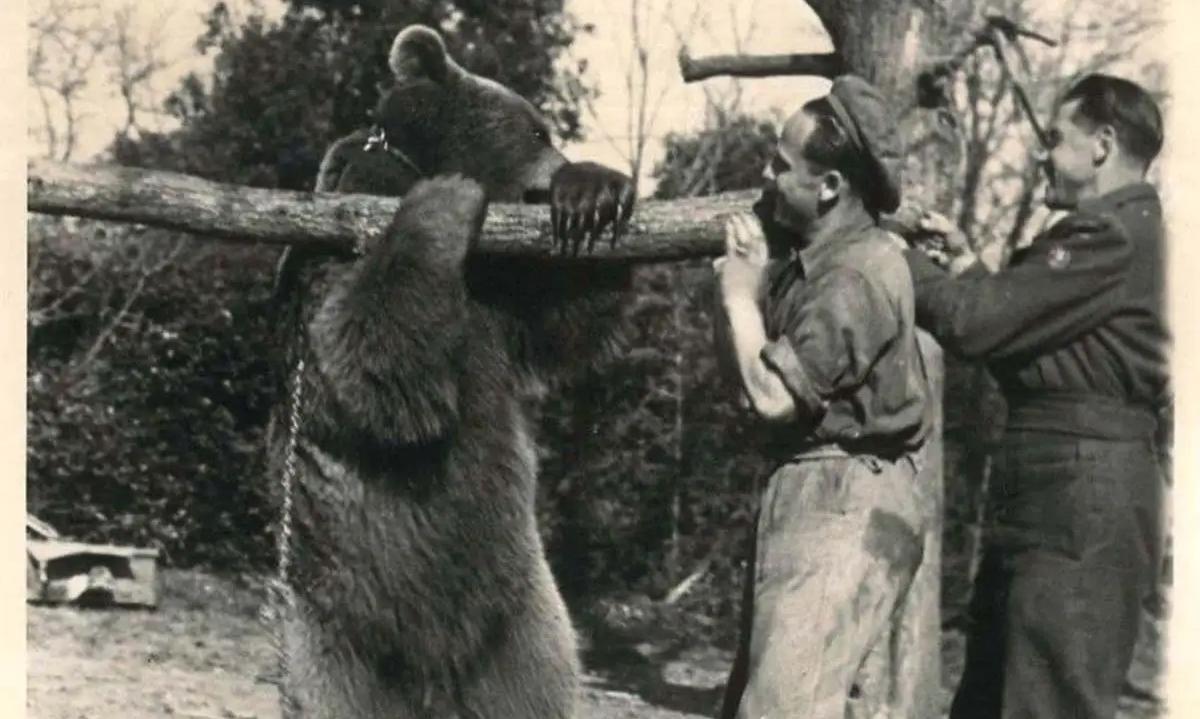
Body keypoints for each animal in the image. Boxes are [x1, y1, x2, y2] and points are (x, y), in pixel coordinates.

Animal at [265, 24, 636, 719]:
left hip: (525, 623)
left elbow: (566, 321)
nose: (550, 174)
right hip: (335, 635)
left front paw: (592, 191)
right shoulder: (347, 220)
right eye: (536, 130)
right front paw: (447, 200)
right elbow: (363, 356)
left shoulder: (500, 307)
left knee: (536, 687)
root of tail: (439, 679)